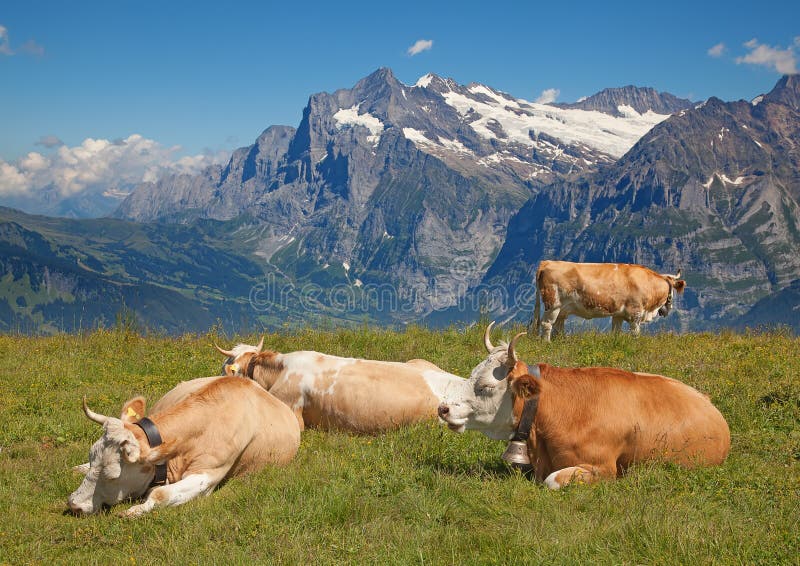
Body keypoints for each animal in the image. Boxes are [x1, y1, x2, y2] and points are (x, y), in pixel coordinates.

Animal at [68, 376, 300, 517]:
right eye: (92, 459)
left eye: (112, 477)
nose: (73, 505)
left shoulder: (208, 475)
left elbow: (160, 494)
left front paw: (135, 510)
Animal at [530, 260, 686, 341]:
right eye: (671, 291)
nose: (667, 310)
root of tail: (547, 262)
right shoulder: (635, 313)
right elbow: (635, 334)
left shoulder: (618, 314)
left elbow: (616, 332)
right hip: (553, 304)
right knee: (546, 324)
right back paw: (547, 343)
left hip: (562, 309)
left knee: (558, 326)